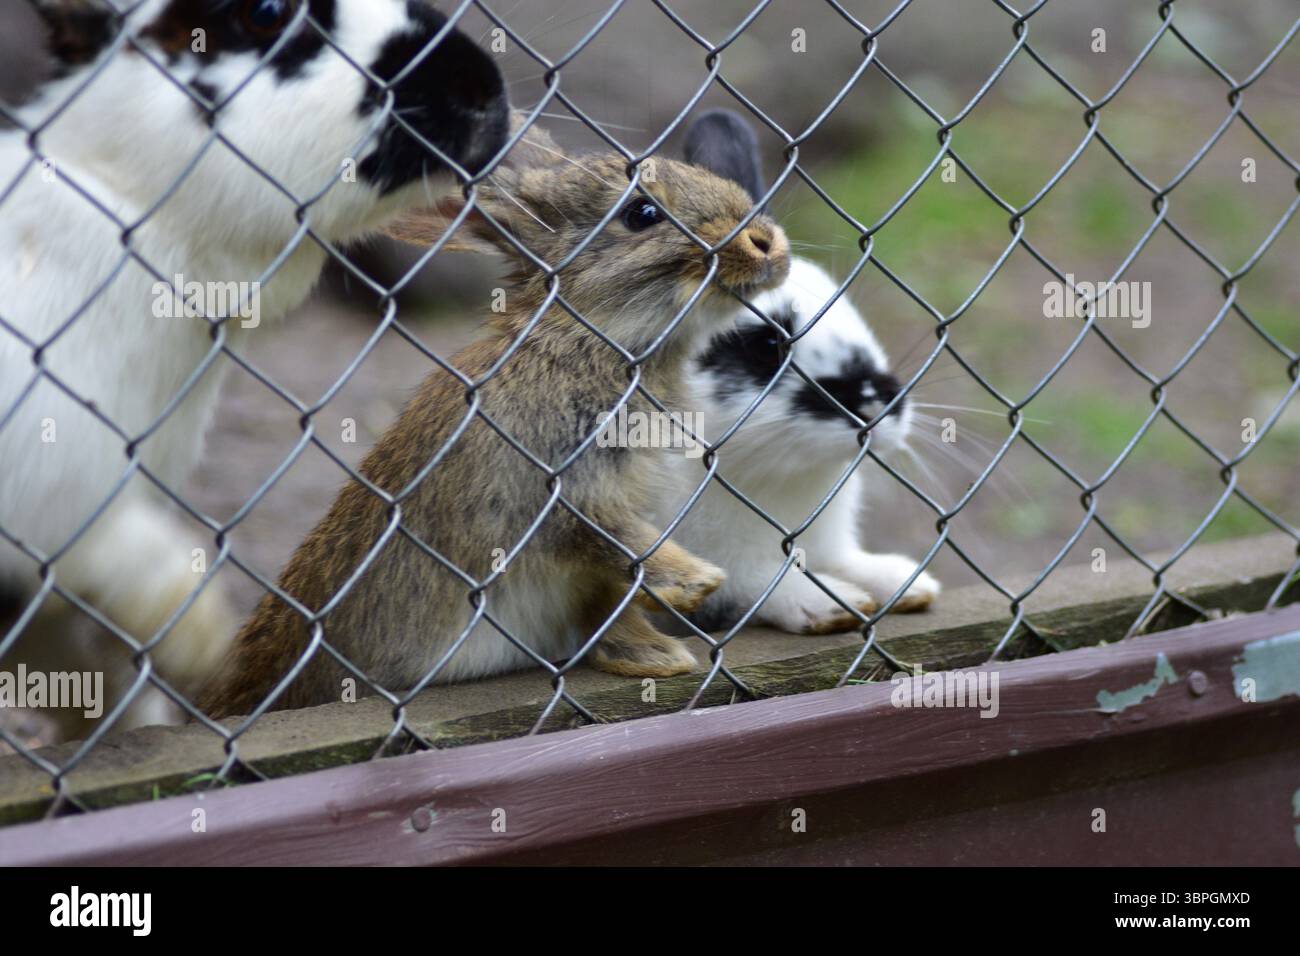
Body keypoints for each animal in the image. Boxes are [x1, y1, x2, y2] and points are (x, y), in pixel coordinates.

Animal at [198, 115, 792, 719]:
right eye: (641, 214)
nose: (767, 242)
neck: (593, 338)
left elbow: (608, 602)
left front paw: (655, 658)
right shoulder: (558, 491)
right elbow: (615, 540)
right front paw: (698, 584)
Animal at [651, 110, 940, 636]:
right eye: (767, 346)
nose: (878, 402)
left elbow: (843, 560)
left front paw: (904, 580)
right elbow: (752, 580)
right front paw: (830, 604)